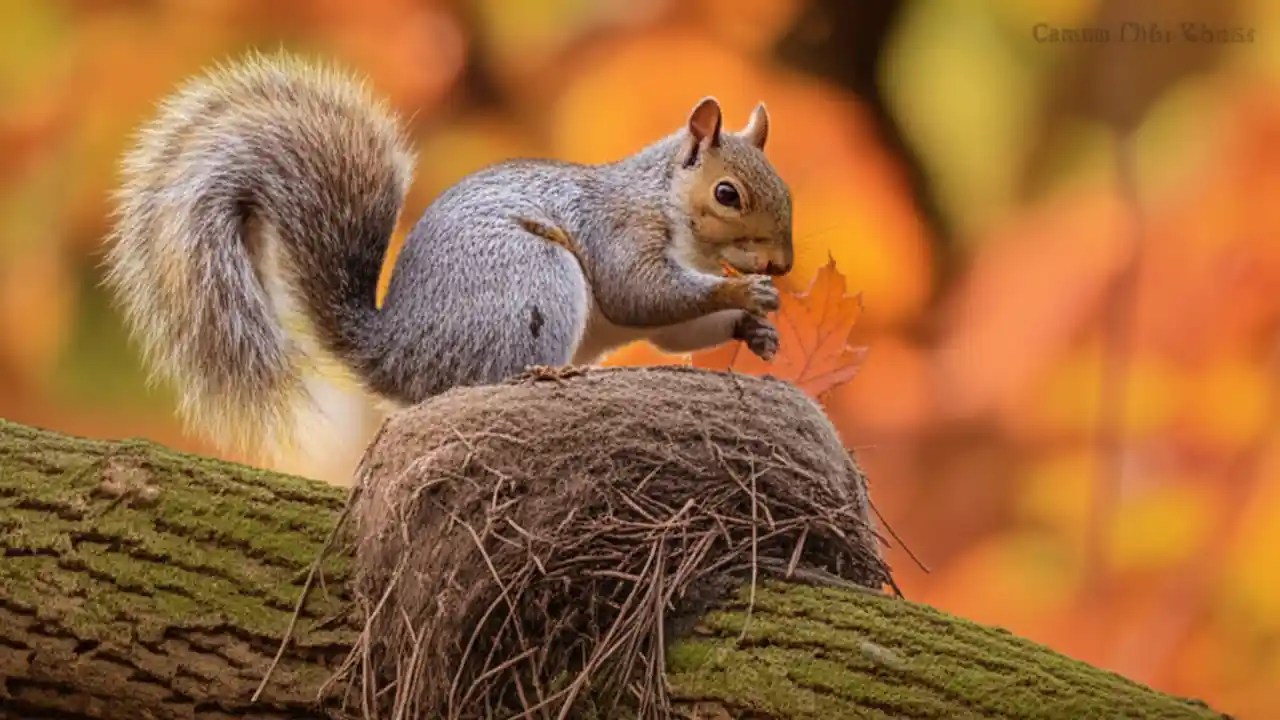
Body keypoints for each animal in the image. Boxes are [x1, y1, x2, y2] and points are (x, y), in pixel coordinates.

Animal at [104, 52, 794, 458]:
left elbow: (676, 332)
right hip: (531, 280)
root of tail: (399, 351)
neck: (670, 207)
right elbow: (639, 293)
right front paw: (743, 293)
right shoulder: (620, 228)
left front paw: (755, 328)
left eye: (785, 189)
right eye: (727, 194)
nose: (782, 266)